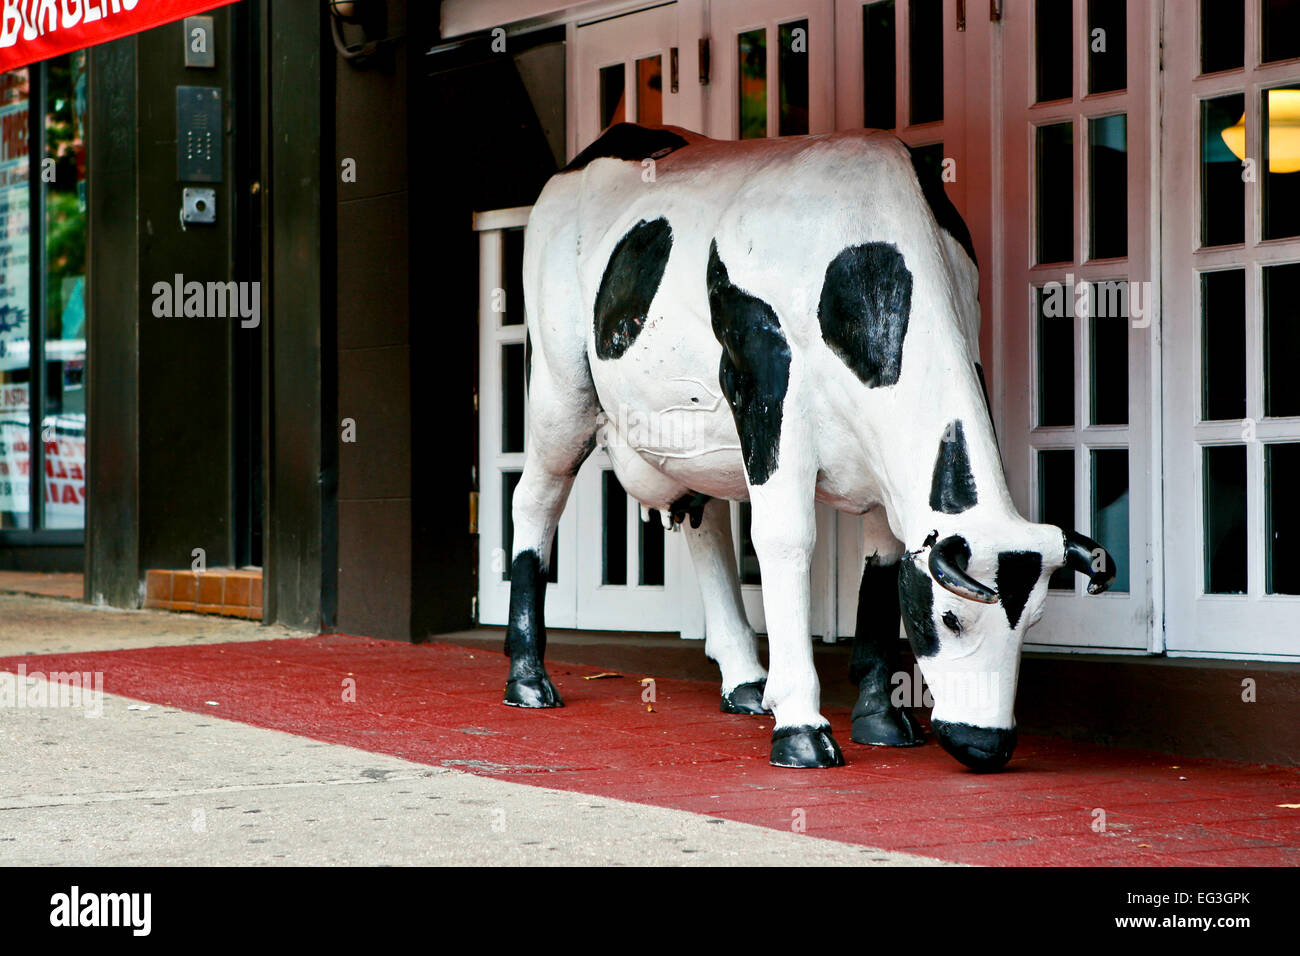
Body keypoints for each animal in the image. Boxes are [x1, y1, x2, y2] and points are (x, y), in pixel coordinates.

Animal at [502, 123, 1116, 772]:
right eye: (950, 618)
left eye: (1034, 620)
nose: (986, 744)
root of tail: (604, 144)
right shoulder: (768, 393)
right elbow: (785, 540)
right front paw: (800, 726)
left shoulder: (882, 452)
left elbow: (885, 561)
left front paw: (880, 716)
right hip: (559, 391)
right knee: (535, 501)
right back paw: (529, 679)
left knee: (703, 521)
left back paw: (745, 682)